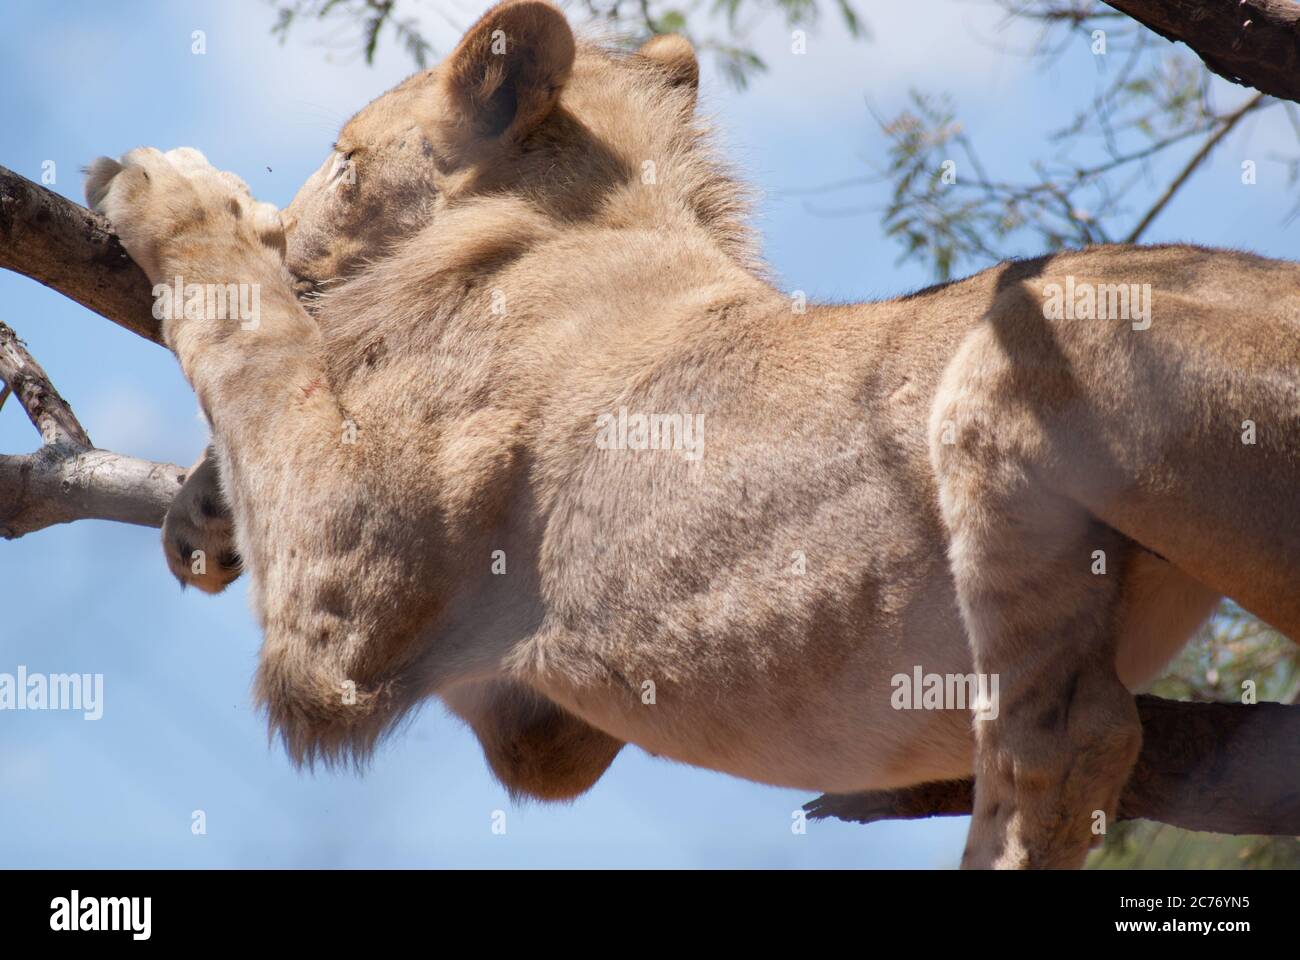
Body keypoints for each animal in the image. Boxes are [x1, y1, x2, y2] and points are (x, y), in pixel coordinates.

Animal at [85, 0, 1300, 868]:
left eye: (343, 160)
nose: (294, 231)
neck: (560, 225)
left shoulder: (346, 611)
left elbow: (260, 348)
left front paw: (170, 193)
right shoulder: (542, 728)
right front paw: (201, 506)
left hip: (1027, 341)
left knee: (1064, 742)